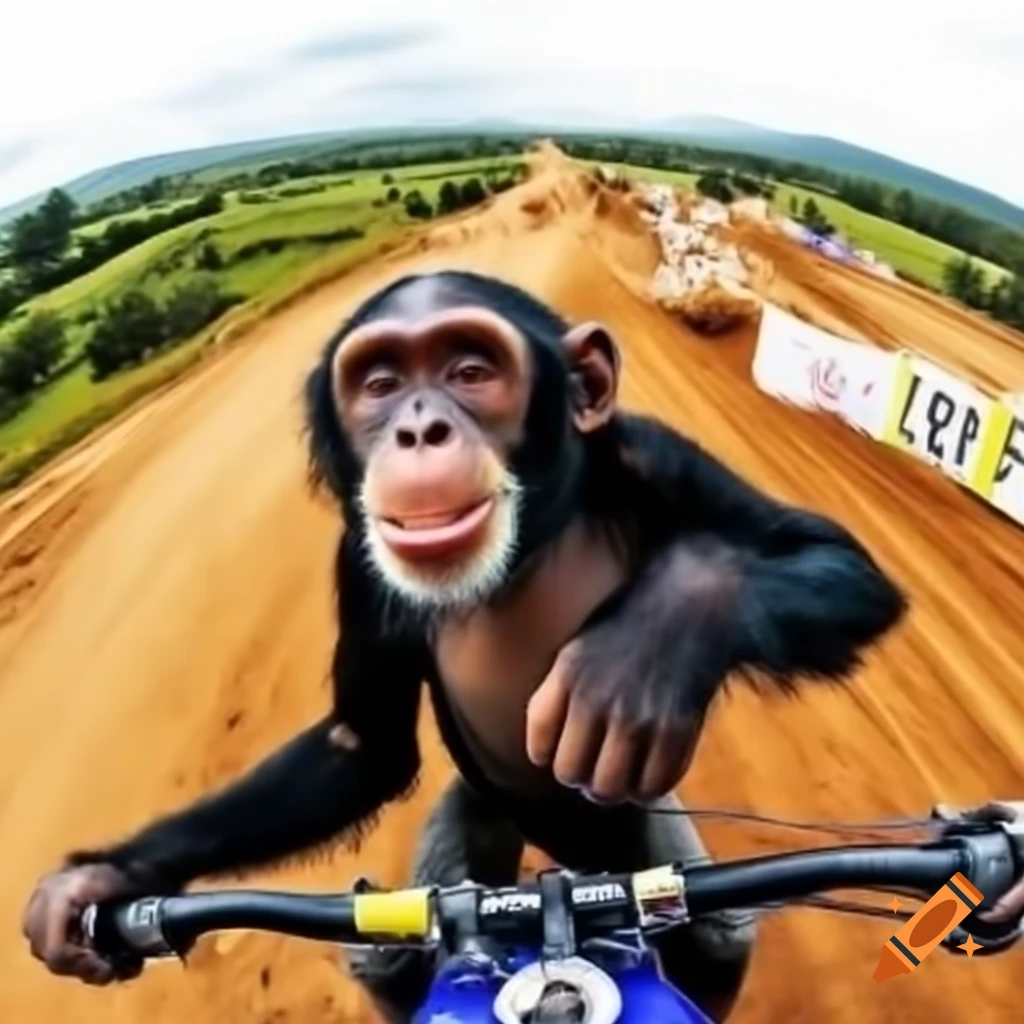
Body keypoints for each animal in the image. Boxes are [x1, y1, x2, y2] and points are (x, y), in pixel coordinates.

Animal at [23, 270, 906, 1023]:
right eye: (379, 385)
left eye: (472, 370)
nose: (420, 428)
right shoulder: (358, 555)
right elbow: (363, 746)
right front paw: (104, 880)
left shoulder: (654, 455)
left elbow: (835, 563)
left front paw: (640, 651)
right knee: (395, 938)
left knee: (715, 932)